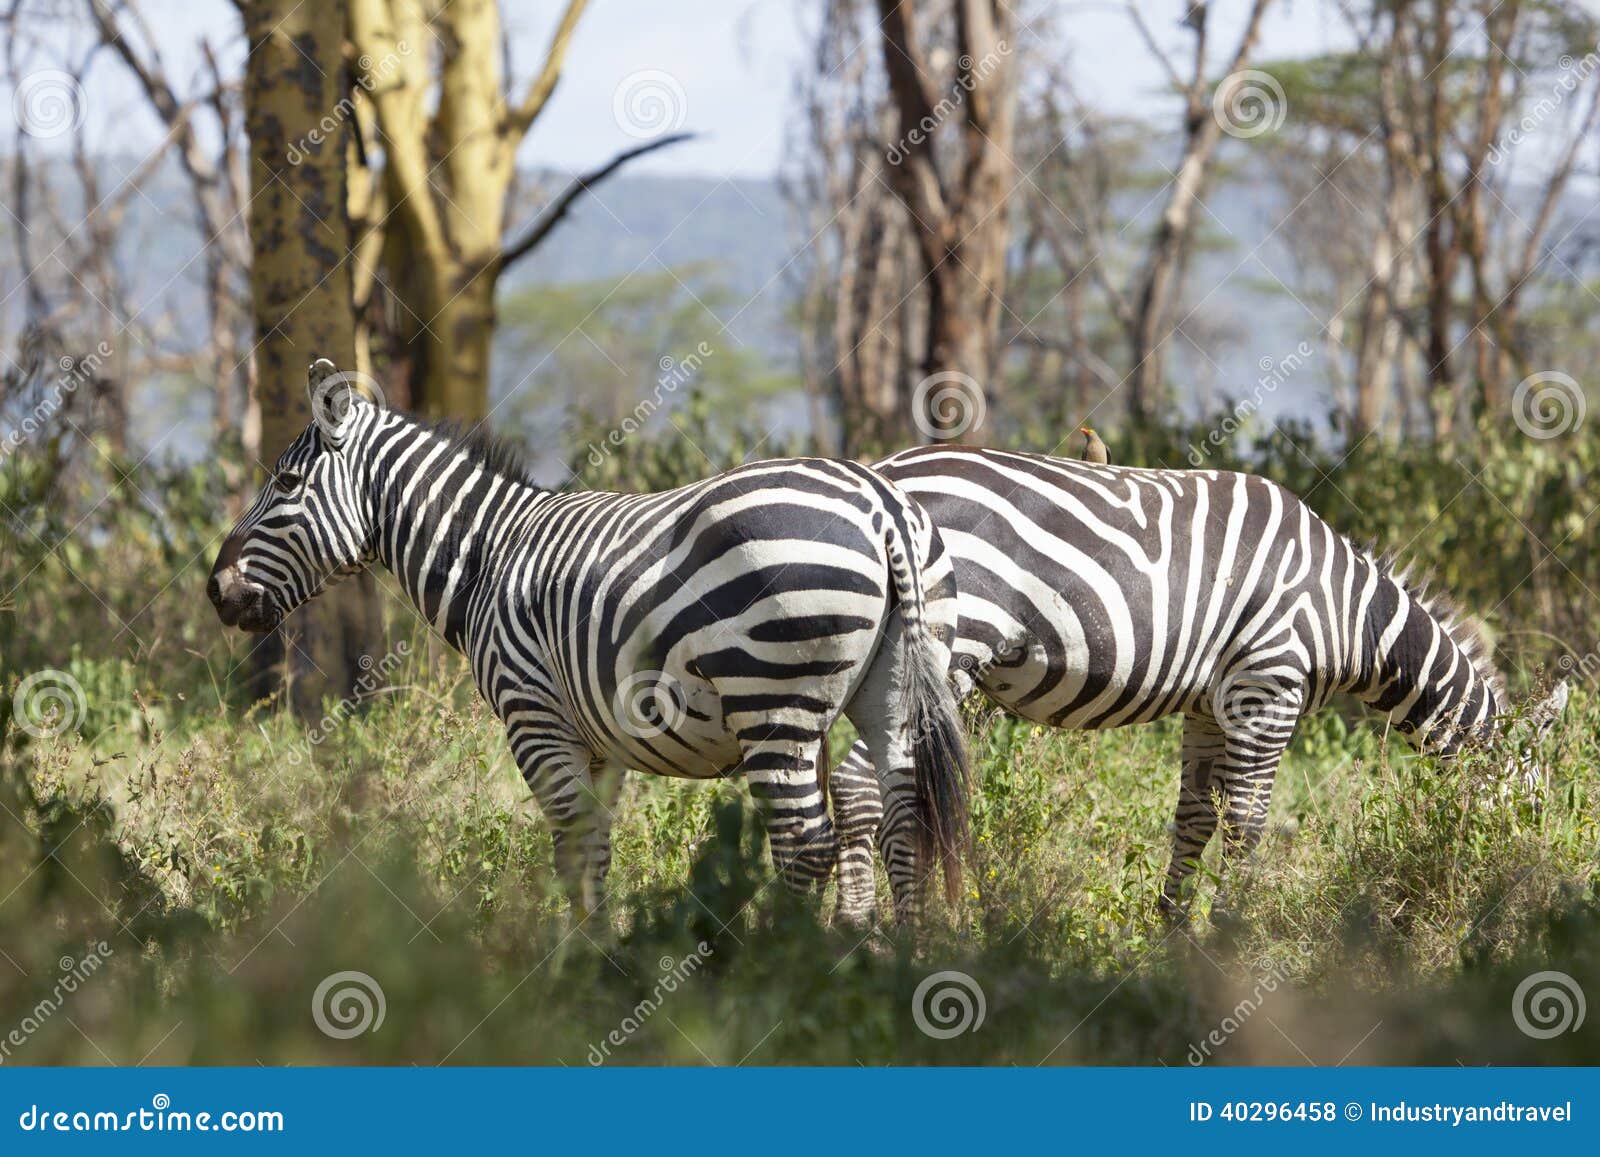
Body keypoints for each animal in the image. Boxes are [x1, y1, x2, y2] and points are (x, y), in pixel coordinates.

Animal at [207, 359, 971, 920]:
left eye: (286, 482)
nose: (216, 589)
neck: (487, 555)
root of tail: (881, 504)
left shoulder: (534, 718)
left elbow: (571, 848)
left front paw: (574, 973)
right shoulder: (601, 739)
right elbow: (597, 850)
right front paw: (603, 959)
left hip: (772, 700)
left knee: (804, 844)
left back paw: (785, 967)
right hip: (896, 690)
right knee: (905, 819)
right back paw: (898, 959)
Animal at [829, 444, 1570, 922]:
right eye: (1534, 805)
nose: (1530, 886)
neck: (1351, 615)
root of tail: (880, 480)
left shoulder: (1211, 705)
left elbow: (1195, 817)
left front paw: (1173, 928)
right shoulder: (1268, 687)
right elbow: (1248, 819)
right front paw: (1229, 930)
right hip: (942, 652)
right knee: (864, 781)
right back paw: (882, 934)